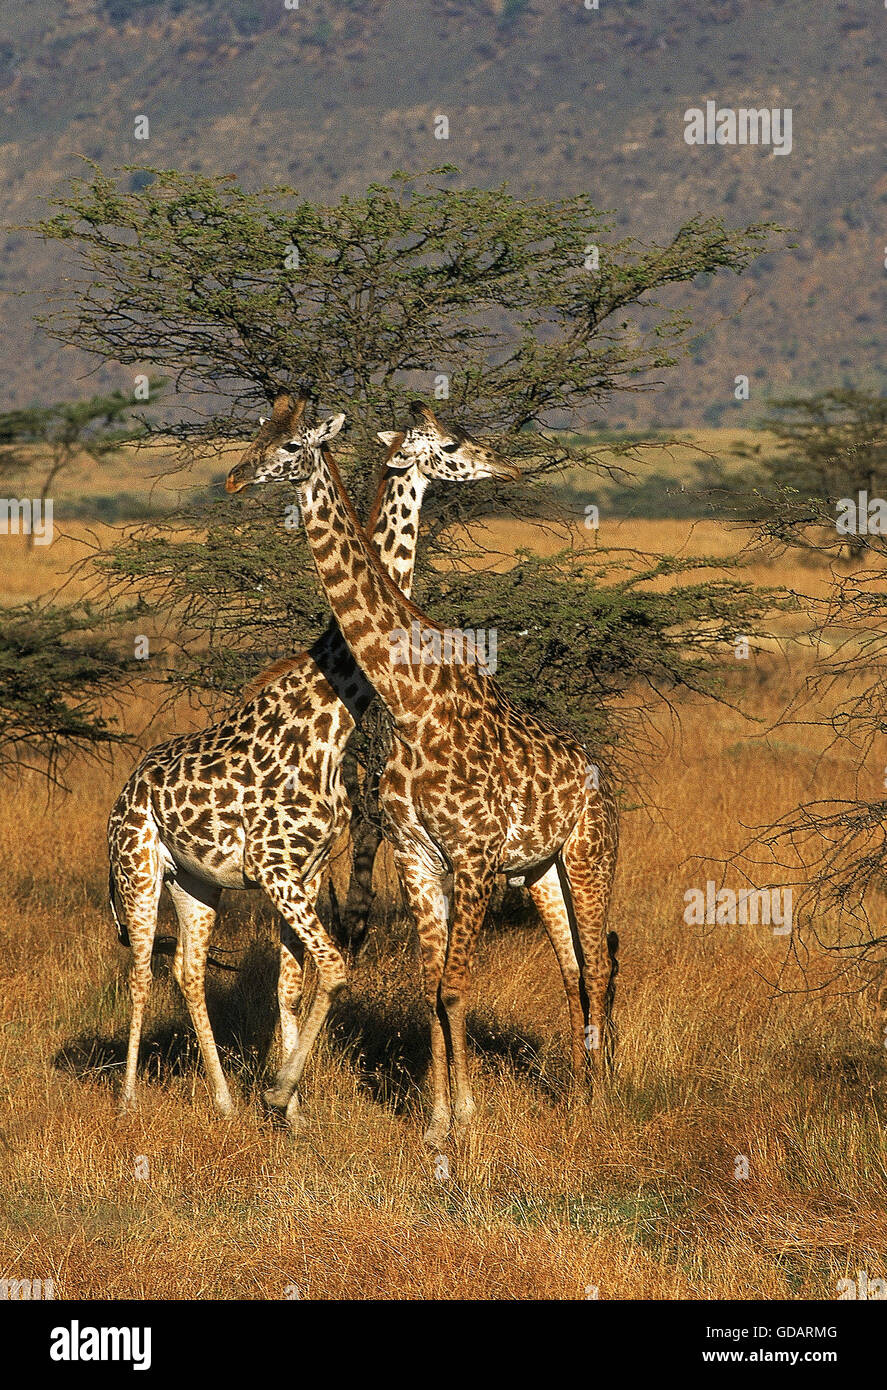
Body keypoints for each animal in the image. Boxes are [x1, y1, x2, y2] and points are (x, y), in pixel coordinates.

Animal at [108, 392, 512, 1126]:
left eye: (290, 443)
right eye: (265, 438)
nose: (235, 478)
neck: (332, 712)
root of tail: (125, 792)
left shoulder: (301, 869)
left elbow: (298, 981)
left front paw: (288, 1108)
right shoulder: (277, 871)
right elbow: (330, 971)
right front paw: (279, 1091)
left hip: (196, 882)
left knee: (186, 971)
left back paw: (223, 1102)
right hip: (138, 869)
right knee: (142, 969)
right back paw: (128, 1099)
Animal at [226, 400, 619, 1146]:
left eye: (289, 444)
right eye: (257, 435)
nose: (234, 478)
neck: (411, 702)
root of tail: (602, 780)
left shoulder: (473, 858)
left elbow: (452, 988)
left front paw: (461, 1120)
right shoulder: (417, 855)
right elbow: (429, 986)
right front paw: (437, 1122)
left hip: (588, 857)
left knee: (600, 963)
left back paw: (603, 1097)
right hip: (541, 872)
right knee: (573, 969)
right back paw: (584, 1093)